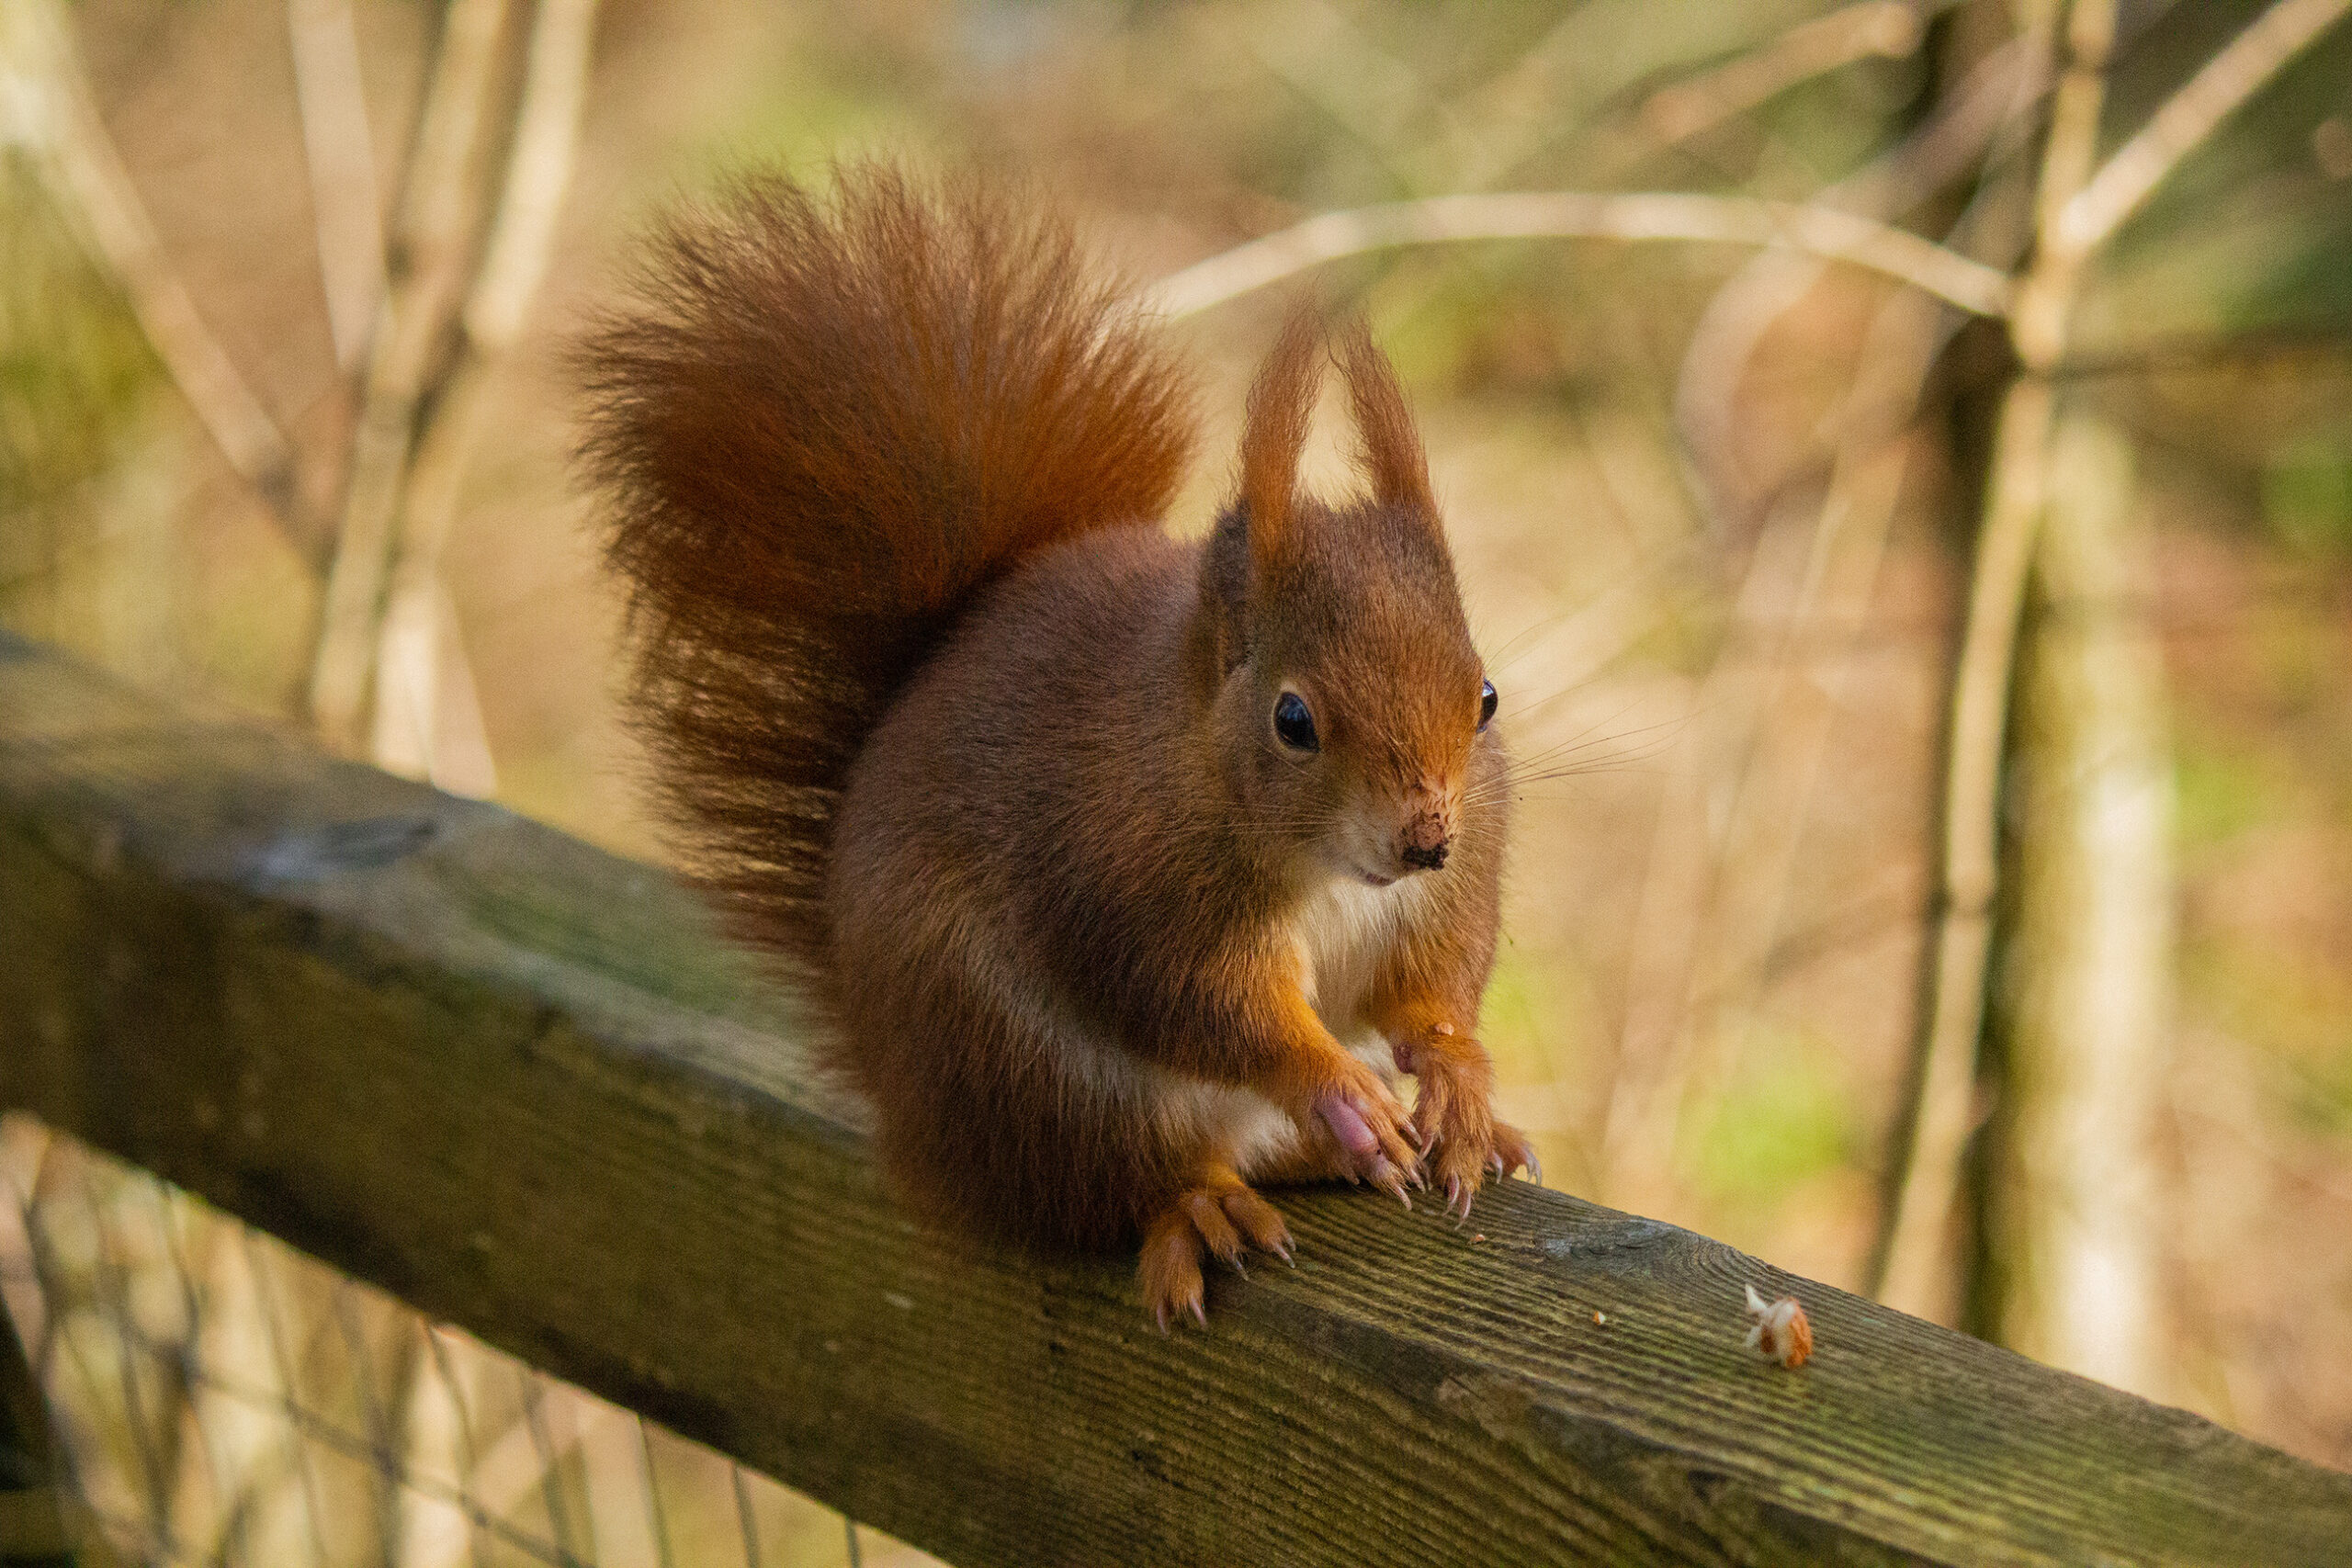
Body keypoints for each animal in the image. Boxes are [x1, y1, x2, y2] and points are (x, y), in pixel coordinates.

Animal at [581, 166, 1536, 1329]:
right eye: (1292, 720)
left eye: (1484, 696)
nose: (1426, 839)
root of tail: (920, 1125)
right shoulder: (1130, 885)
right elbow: (1210, 1006)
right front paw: (1339, 1084)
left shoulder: (1433, 907)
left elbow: (1426, 994)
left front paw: (1459, 1083)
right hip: (1032, 1079)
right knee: (1126, 1183)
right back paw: (1214, 1202)